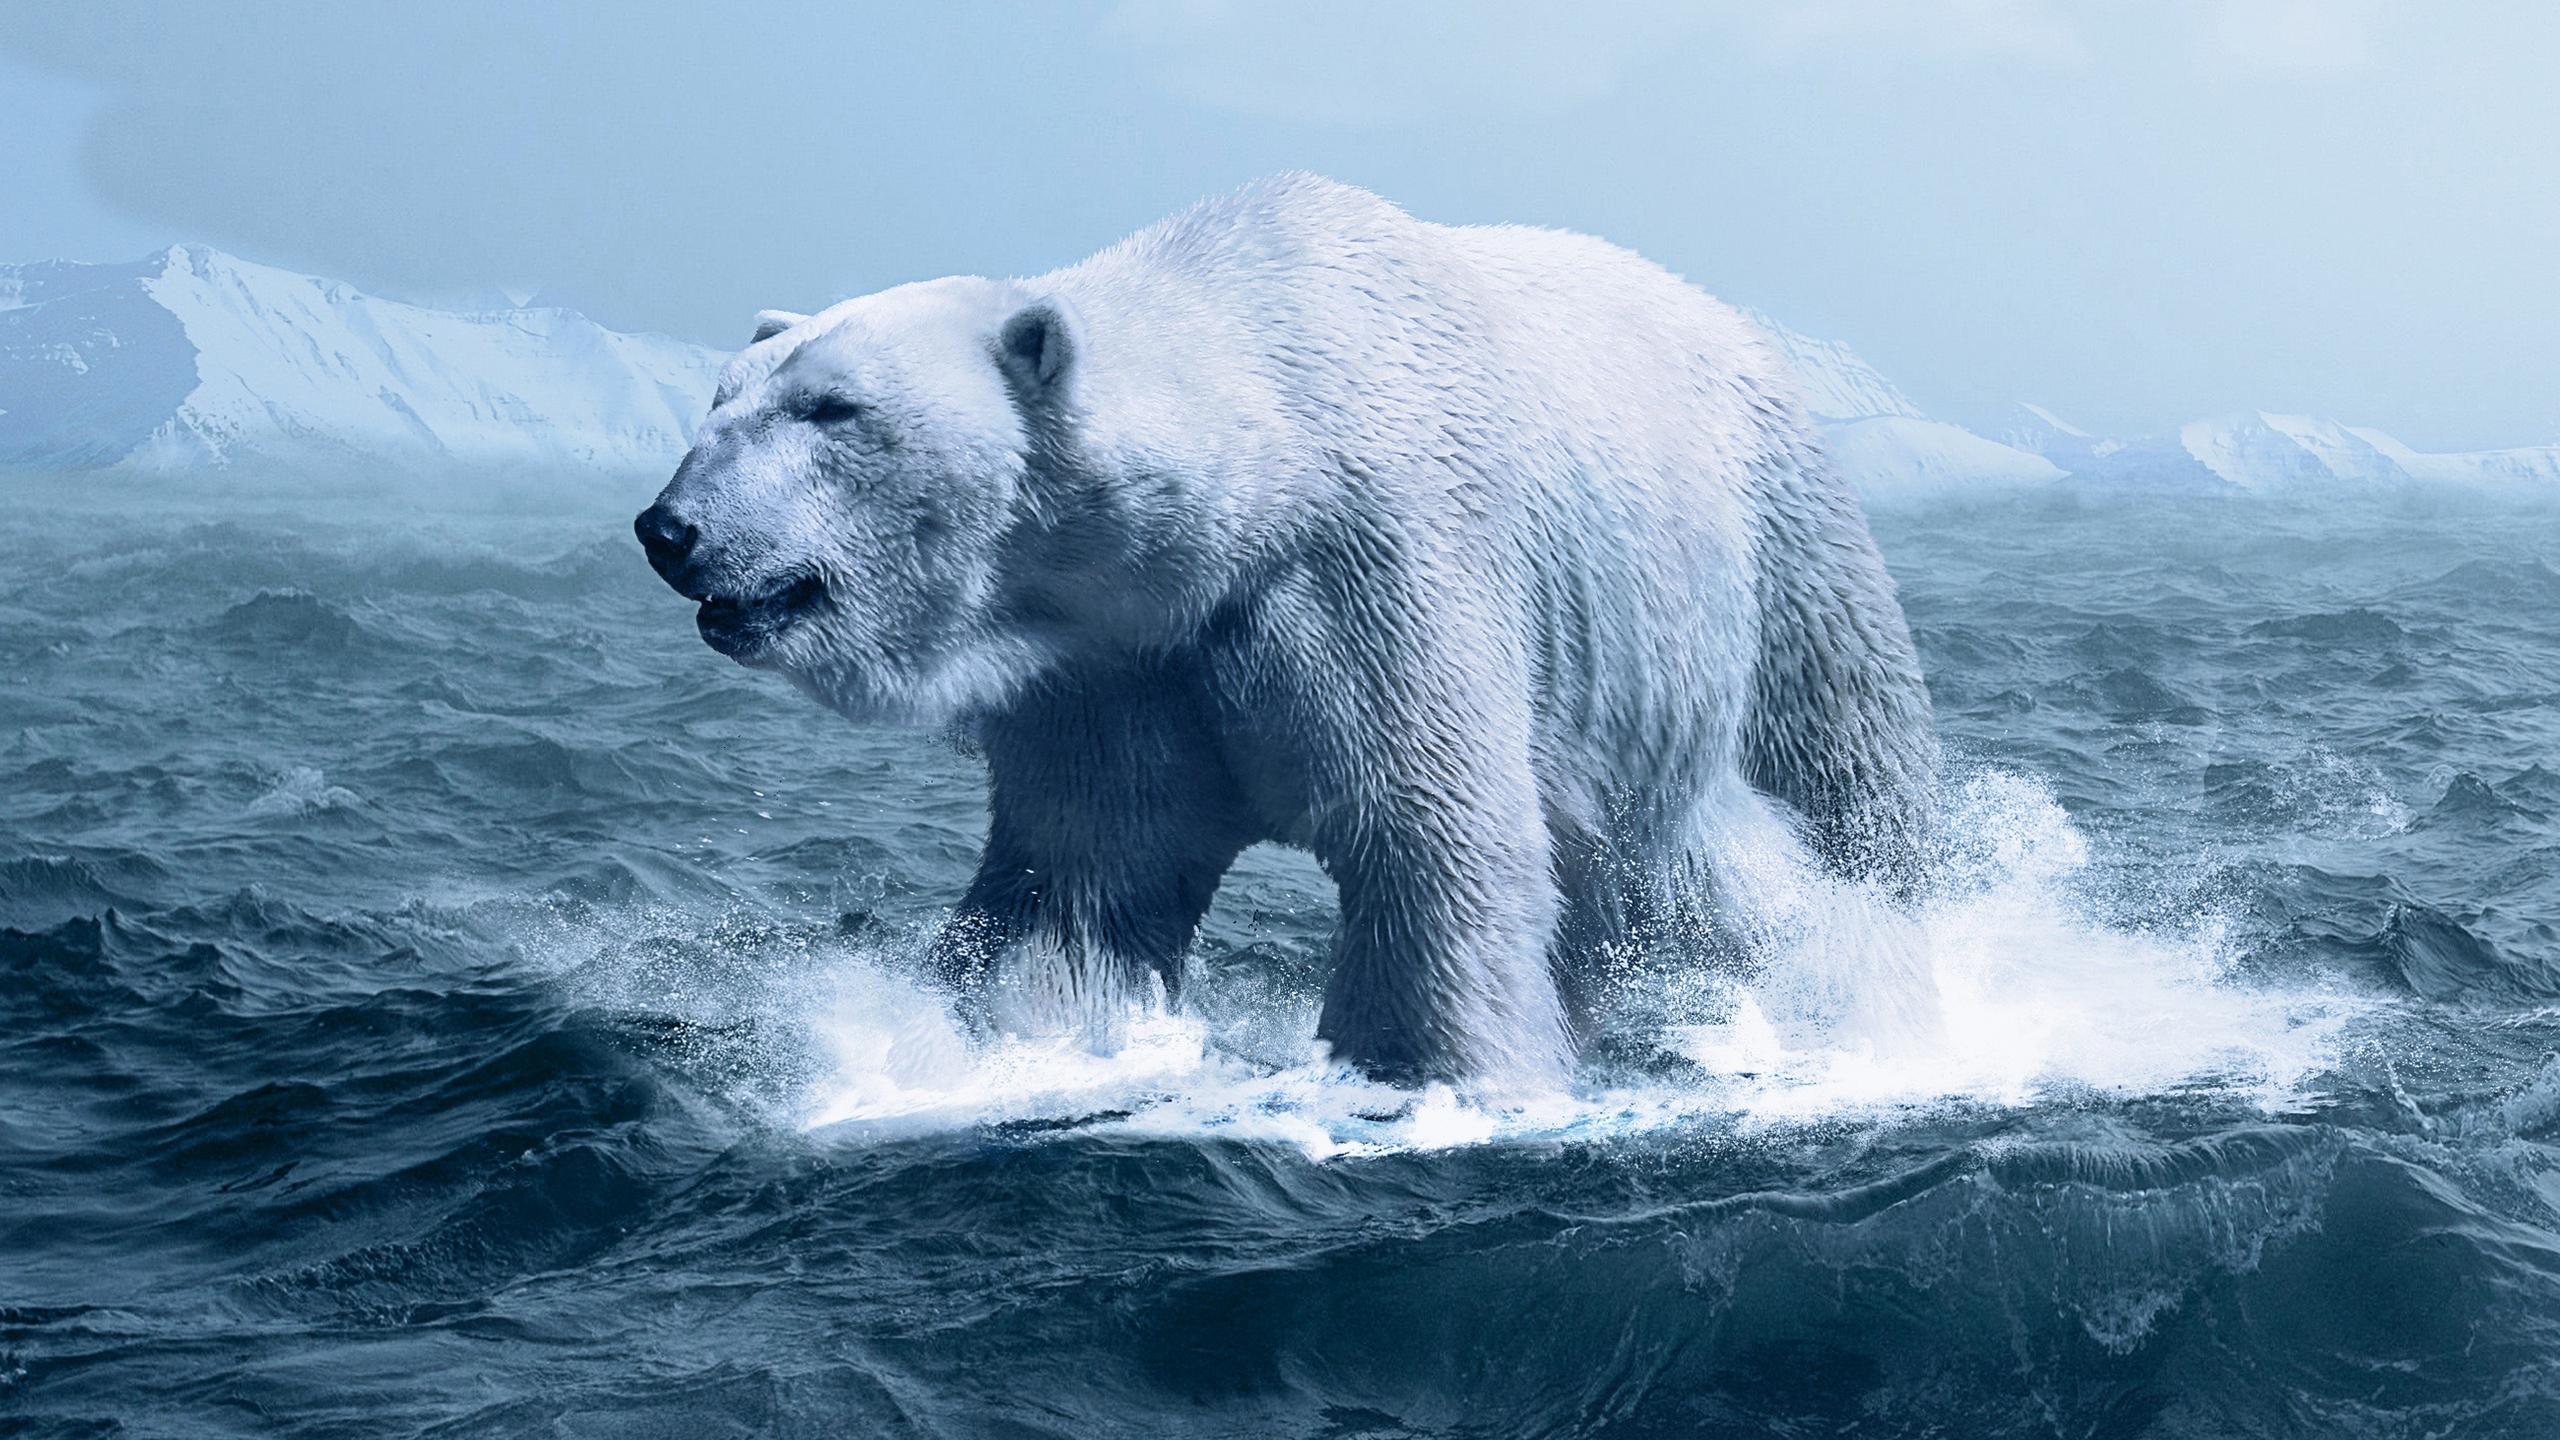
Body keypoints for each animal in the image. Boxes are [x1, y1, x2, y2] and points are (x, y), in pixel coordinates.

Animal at [635, 174, 1936, 1090]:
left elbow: (1428, 835)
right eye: (721, 398)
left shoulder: (1376, 569)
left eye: (832, 408)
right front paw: (998, 1041)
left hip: (1770, 549)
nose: (668, 528)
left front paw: (1426, 1075)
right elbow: (1081, 878)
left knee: (1817, 789)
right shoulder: (1120, 662)